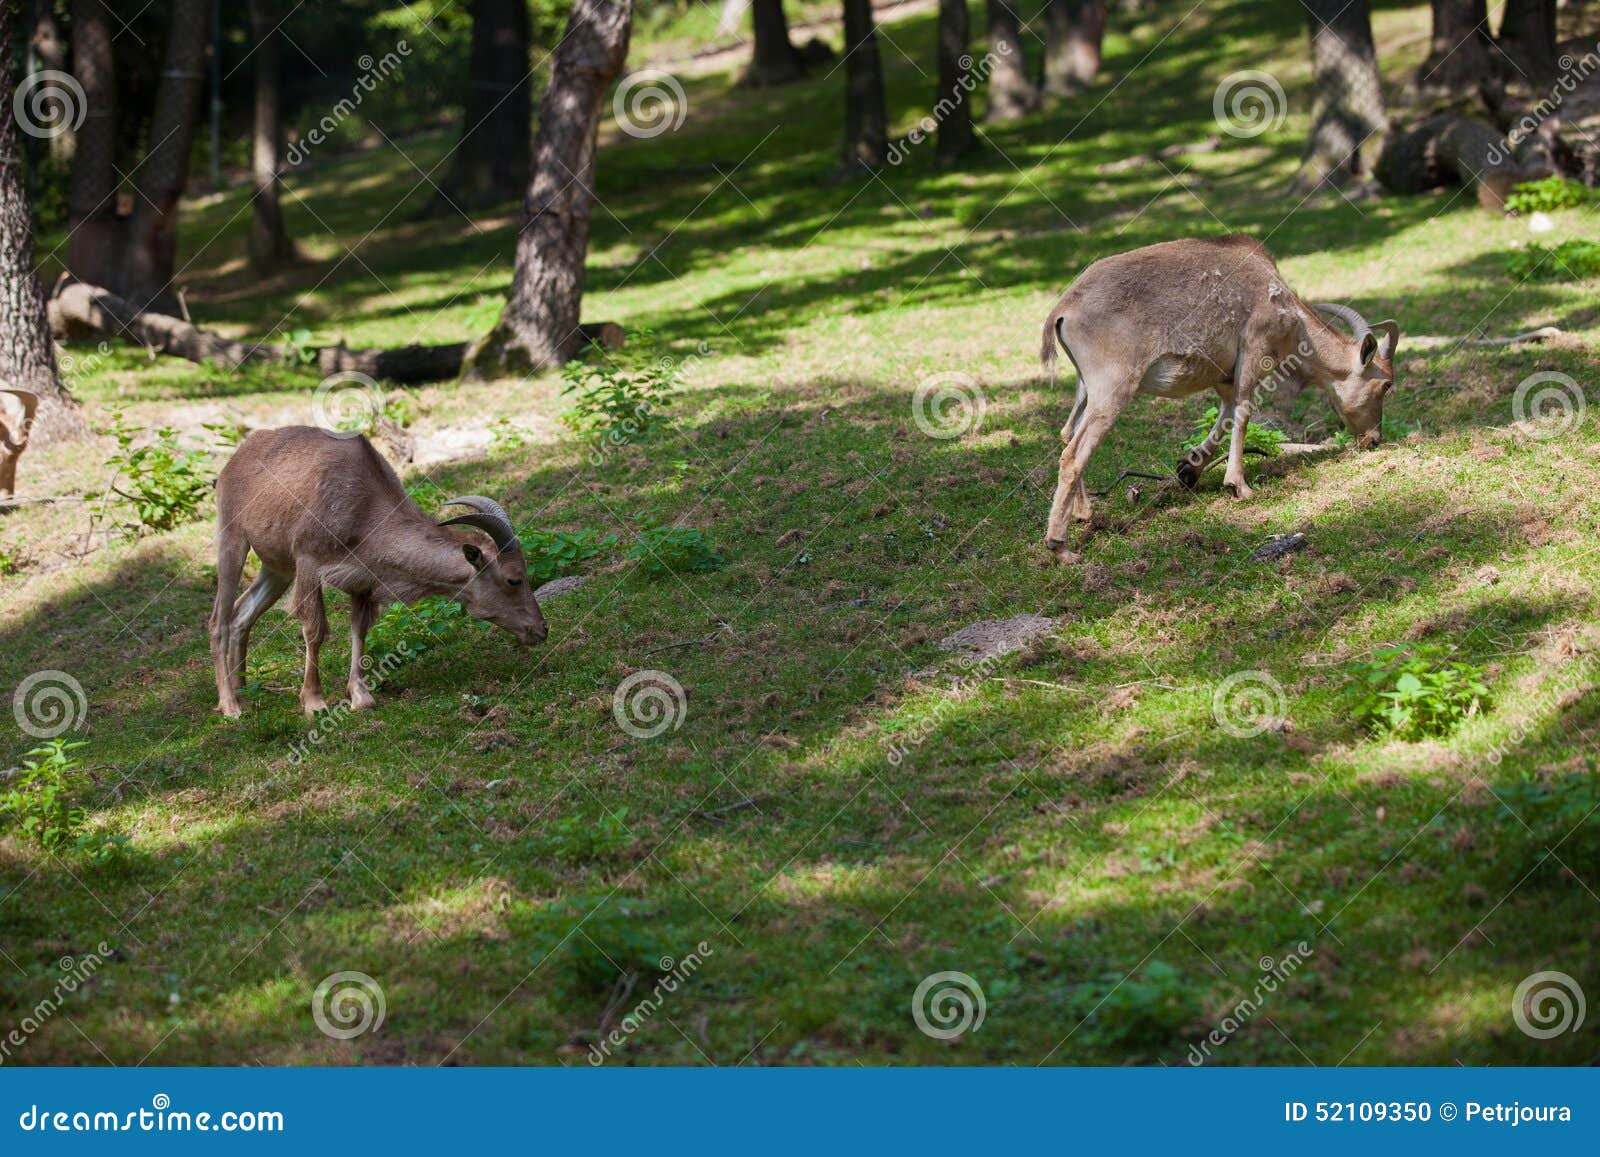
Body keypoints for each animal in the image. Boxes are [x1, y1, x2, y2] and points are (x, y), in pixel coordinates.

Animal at [210, 426, 547, 717]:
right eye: (513, 579)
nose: (541, 630)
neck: (365, 507)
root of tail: (234, 460)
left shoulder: (363, 580)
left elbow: (359, 629)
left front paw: (360, 695)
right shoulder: (308, 561)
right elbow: (315, 630)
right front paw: (314, 702)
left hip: (277, 568)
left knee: (242, 613)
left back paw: (243, 691)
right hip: (233, 540)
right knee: (219, 620)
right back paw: (230, 705)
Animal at [1039, 235, 1398, 559]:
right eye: (1386, 385)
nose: (1373, 438)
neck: (1292, 317)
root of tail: (1061, 311)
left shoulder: (1224, 374)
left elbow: (1226, 412)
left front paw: (1189, 468)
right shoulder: (1253, 350)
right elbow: (1243, 412)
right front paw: (1239, 486)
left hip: (1085, 387)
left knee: (1067, 432)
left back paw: (1085, 513)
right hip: (1112, 388)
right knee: (1074, 453)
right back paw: (1061, 546)